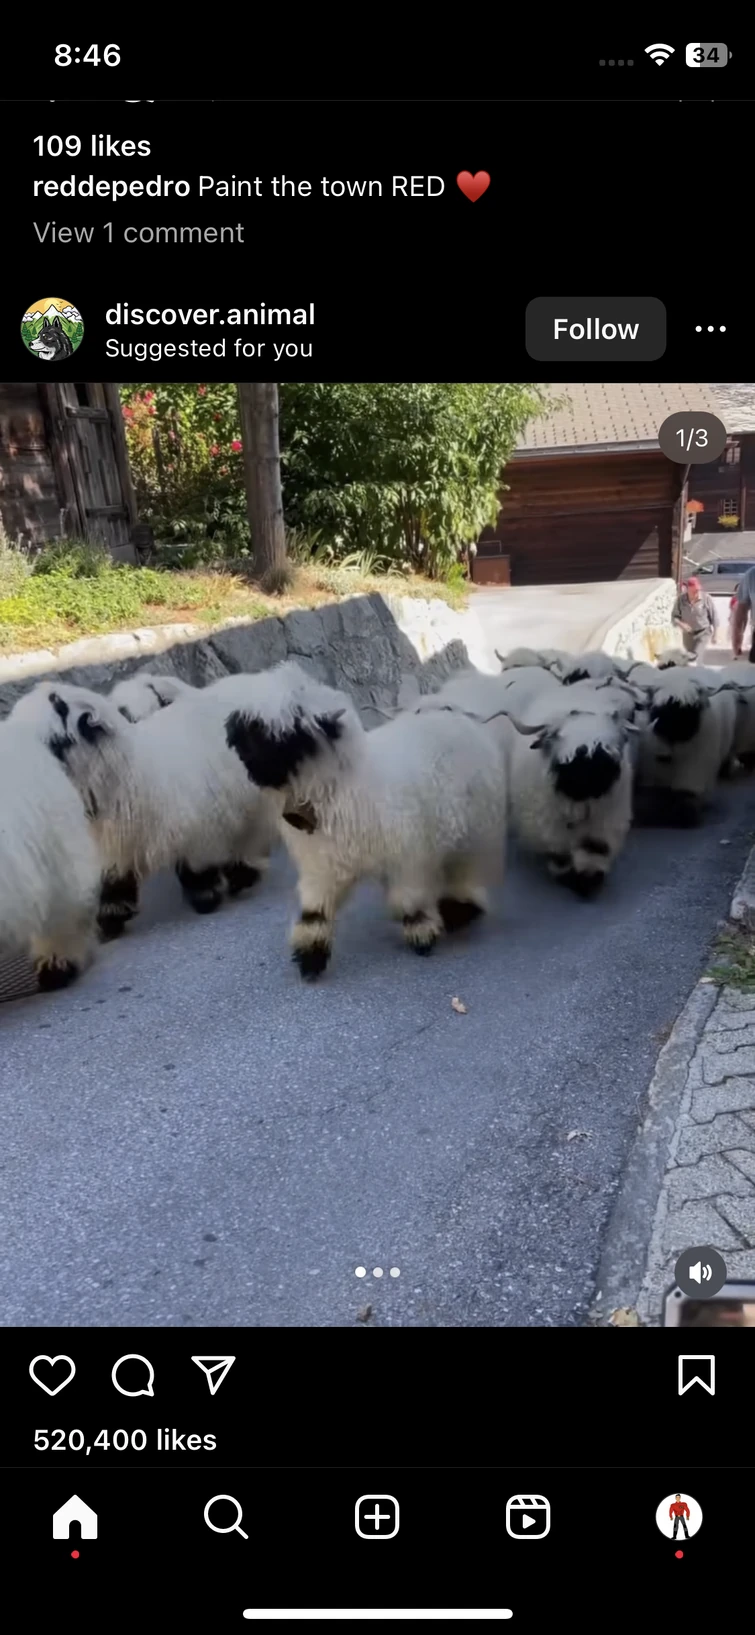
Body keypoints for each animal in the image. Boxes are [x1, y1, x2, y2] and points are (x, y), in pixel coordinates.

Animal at [11, 679, 277, 935]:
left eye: (55, 742)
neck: (127, 774)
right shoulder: (109, 845)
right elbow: (112, 881)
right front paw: (111, 918)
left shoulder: (194, 825)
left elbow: (197, 865)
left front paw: (206, 897)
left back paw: (243, 875)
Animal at [223, 660, 510, 978]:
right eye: (248, 728)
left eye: (287, 734)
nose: (247, 762)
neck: (345, 786)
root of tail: (446, 709)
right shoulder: (322, 865)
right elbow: (315, 910)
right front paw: (310, 955)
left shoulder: (407, 857)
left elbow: (408, 901)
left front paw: (421, 933)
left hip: (478, 827)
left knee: (467, 869)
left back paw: (461, 909)